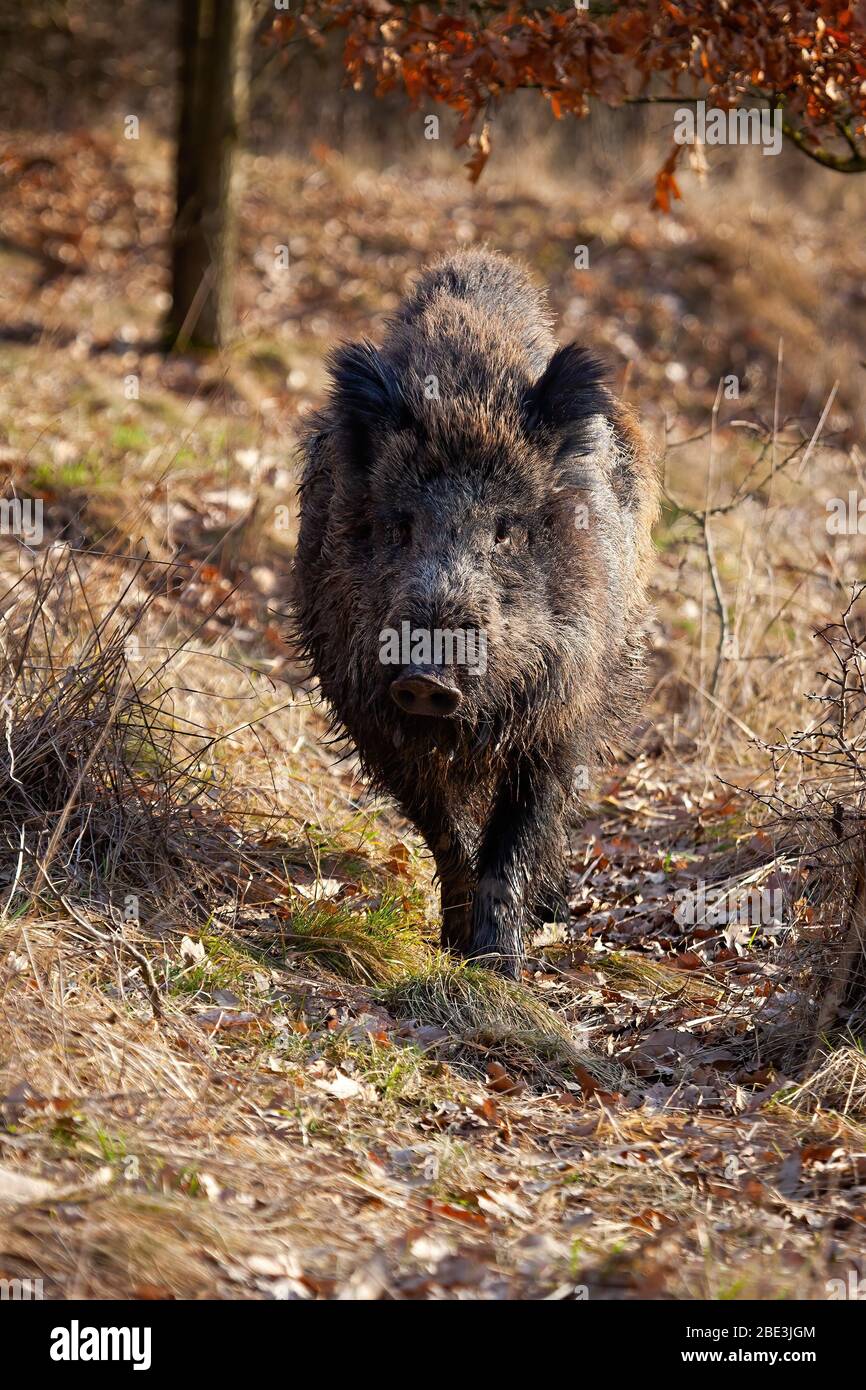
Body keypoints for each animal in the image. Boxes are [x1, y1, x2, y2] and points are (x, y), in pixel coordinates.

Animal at [293, 249, 657, 977]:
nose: (426, 676)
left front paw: (500, 965)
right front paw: (458, 946)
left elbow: (525, 824)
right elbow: (441, 826)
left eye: (505, 531)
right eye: (400, 526)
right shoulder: (370, 711)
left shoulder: (565, 709)